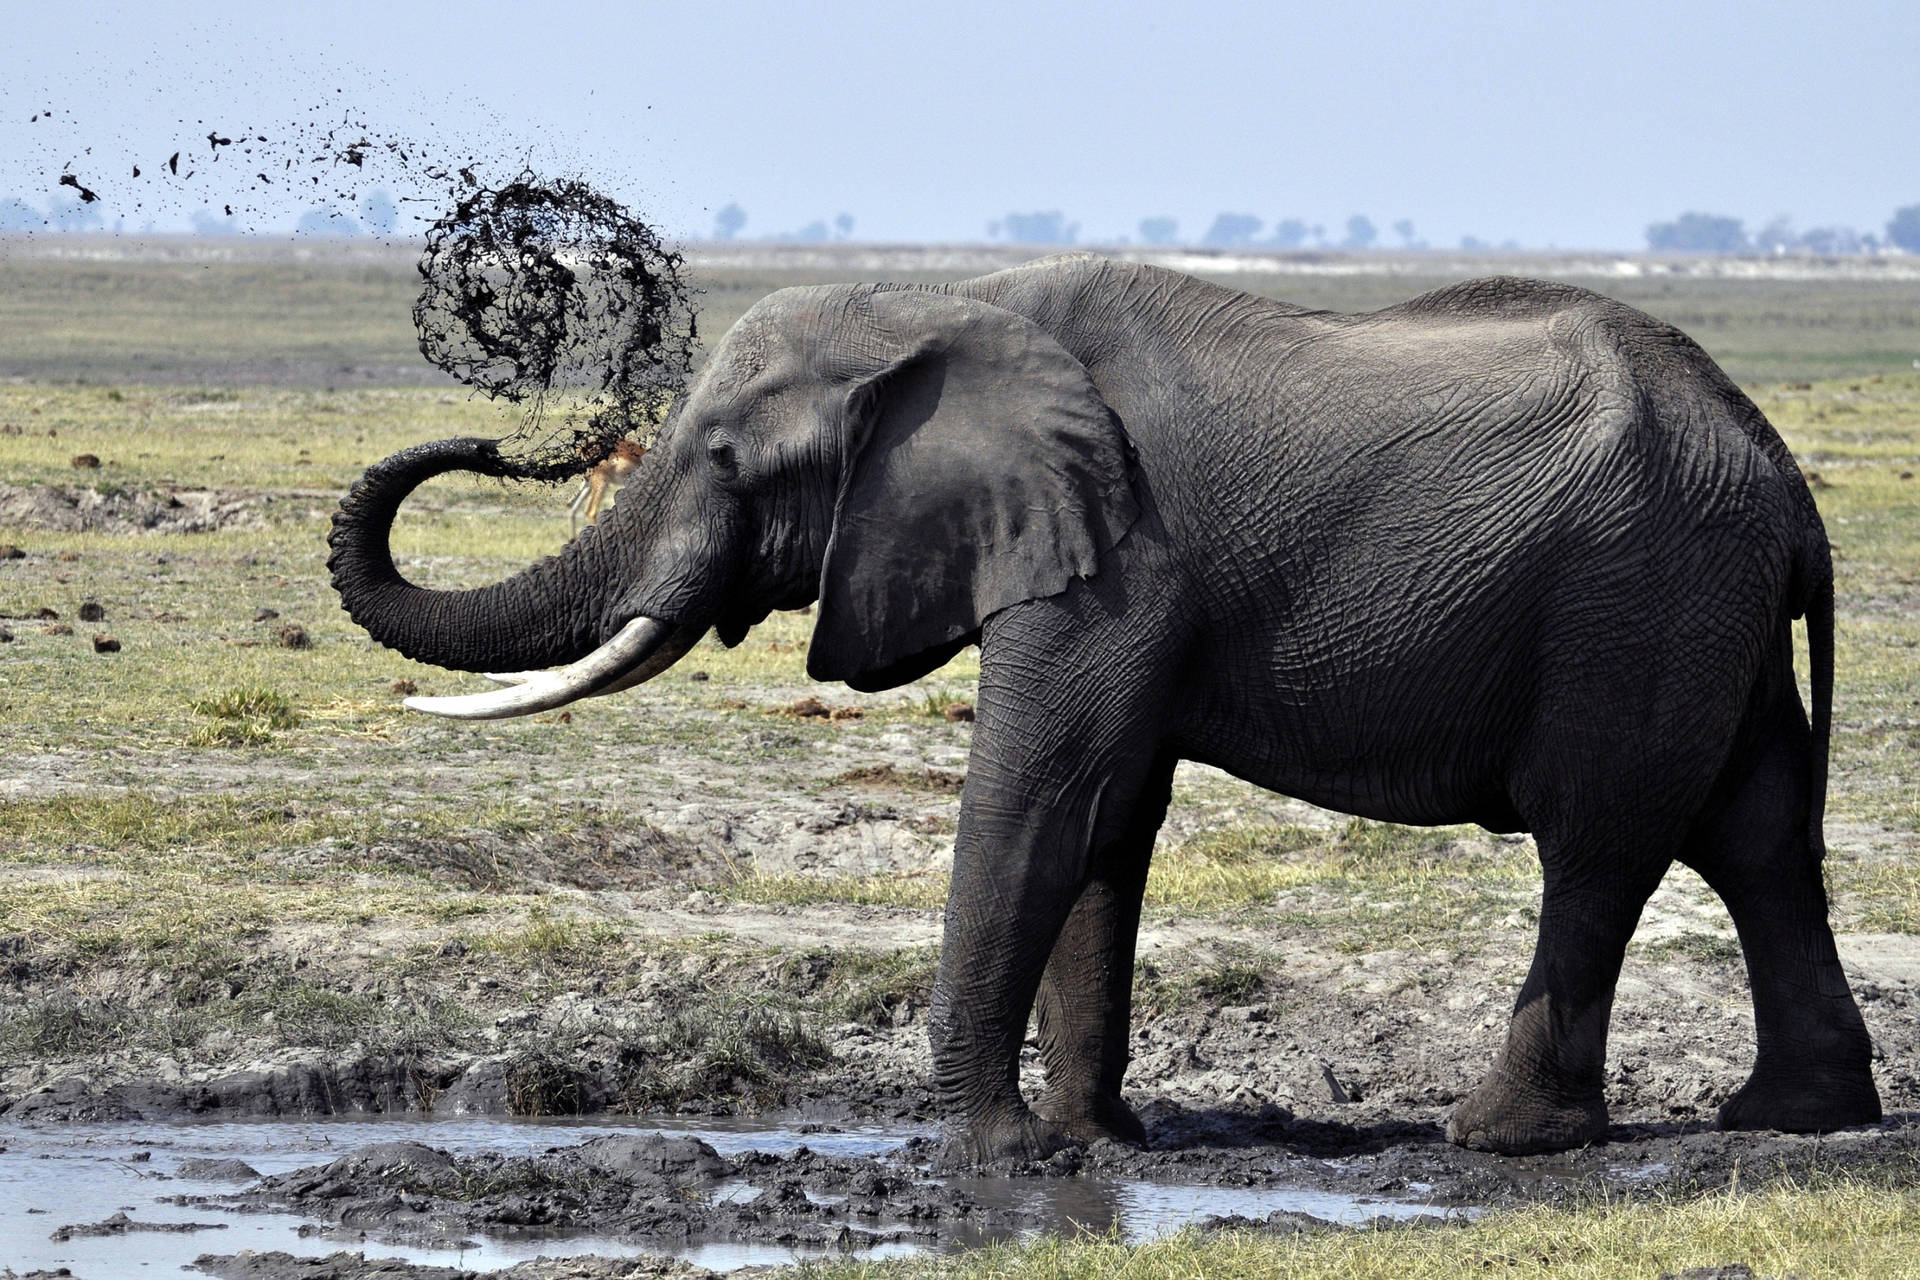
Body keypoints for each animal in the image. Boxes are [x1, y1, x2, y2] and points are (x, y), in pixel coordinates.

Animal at [329, 253, 1882, 1161]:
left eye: (722, 458)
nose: (507, 438)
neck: (944, 301)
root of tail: (1785, 477)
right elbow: (1105, 818)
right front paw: (1093, 1143)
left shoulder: (1113, 554)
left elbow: (1041, 793)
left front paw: (988, 1154)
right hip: (1703, 604)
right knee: (1757, 838)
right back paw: (1791, 1118)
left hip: (1639, 598)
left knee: (1601, 843)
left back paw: (1498, 1139)